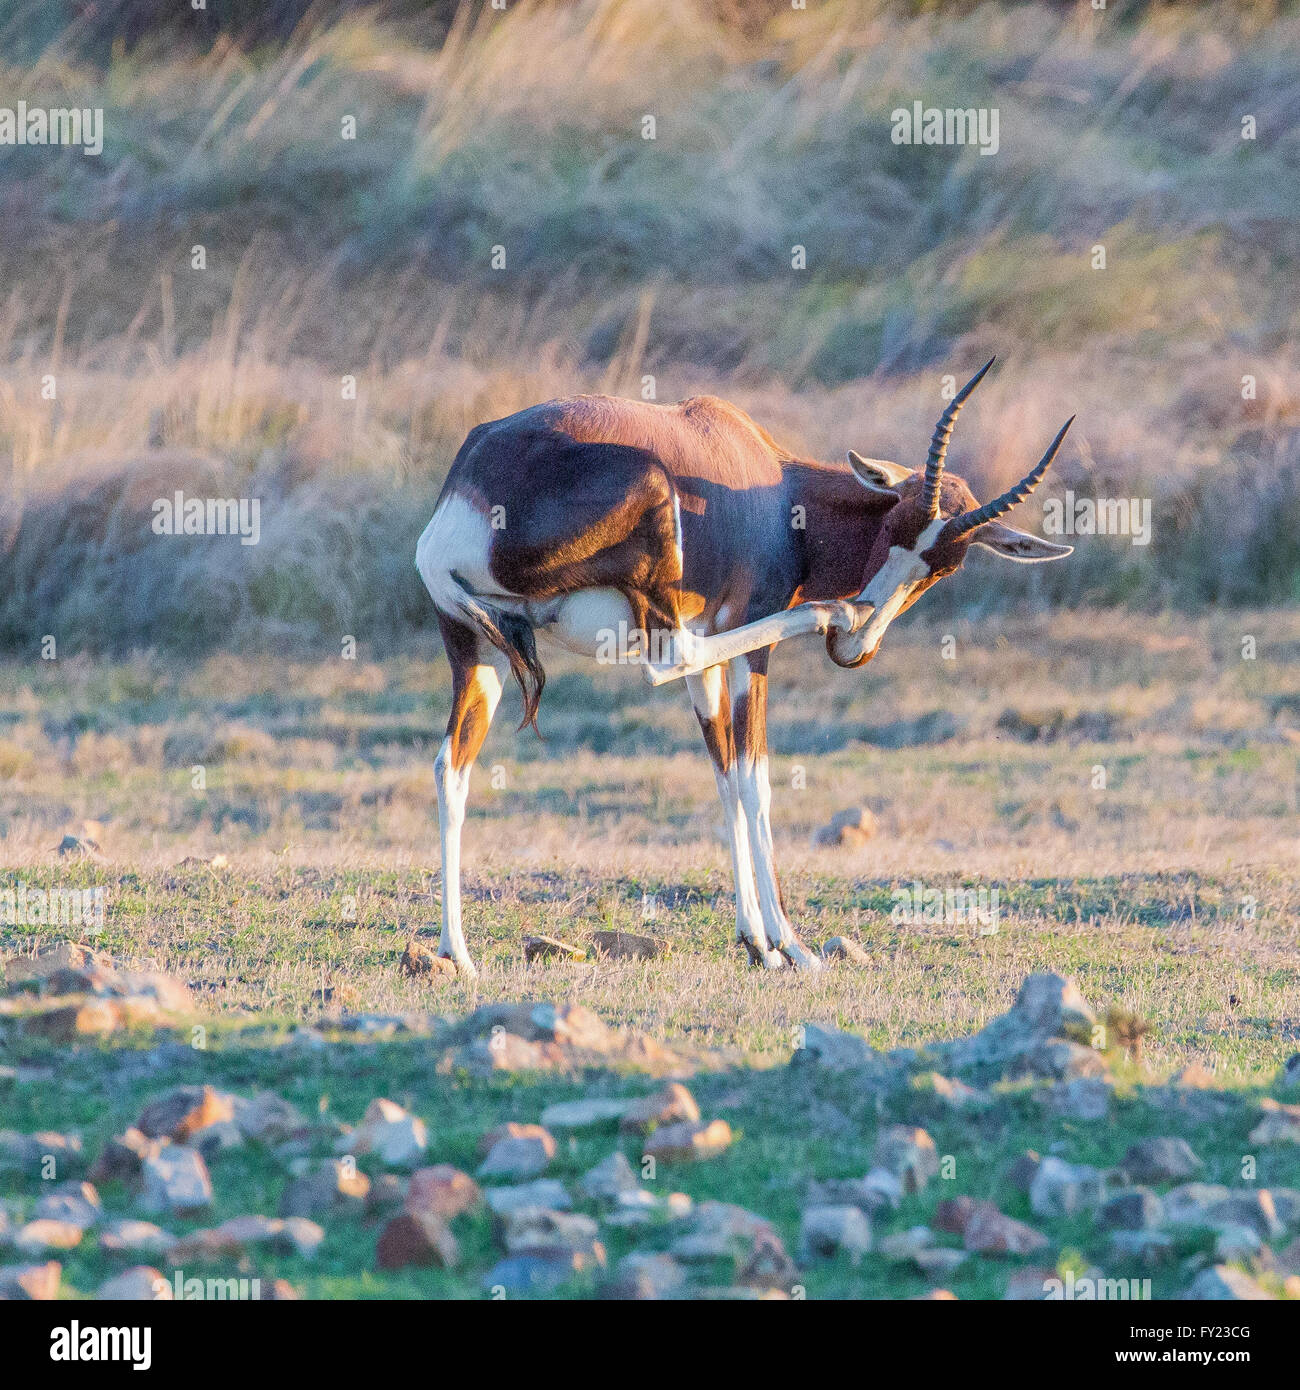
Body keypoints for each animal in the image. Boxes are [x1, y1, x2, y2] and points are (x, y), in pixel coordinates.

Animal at [416, 360, 1074, 976]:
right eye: (896, 524)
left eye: (943, 566)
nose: (856, 643)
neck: (773, 488)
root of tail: (466, 492)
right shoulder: (742, 644)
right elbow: (755, 779)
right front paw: (791, 946)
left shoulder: (710, 667)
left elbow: (726, 776)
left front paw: (757, 942)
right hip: (653, 598)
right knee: (668, 661)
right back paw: (827, 611)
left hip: (480, 650)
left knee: (451, 765)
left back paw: (459, 954)